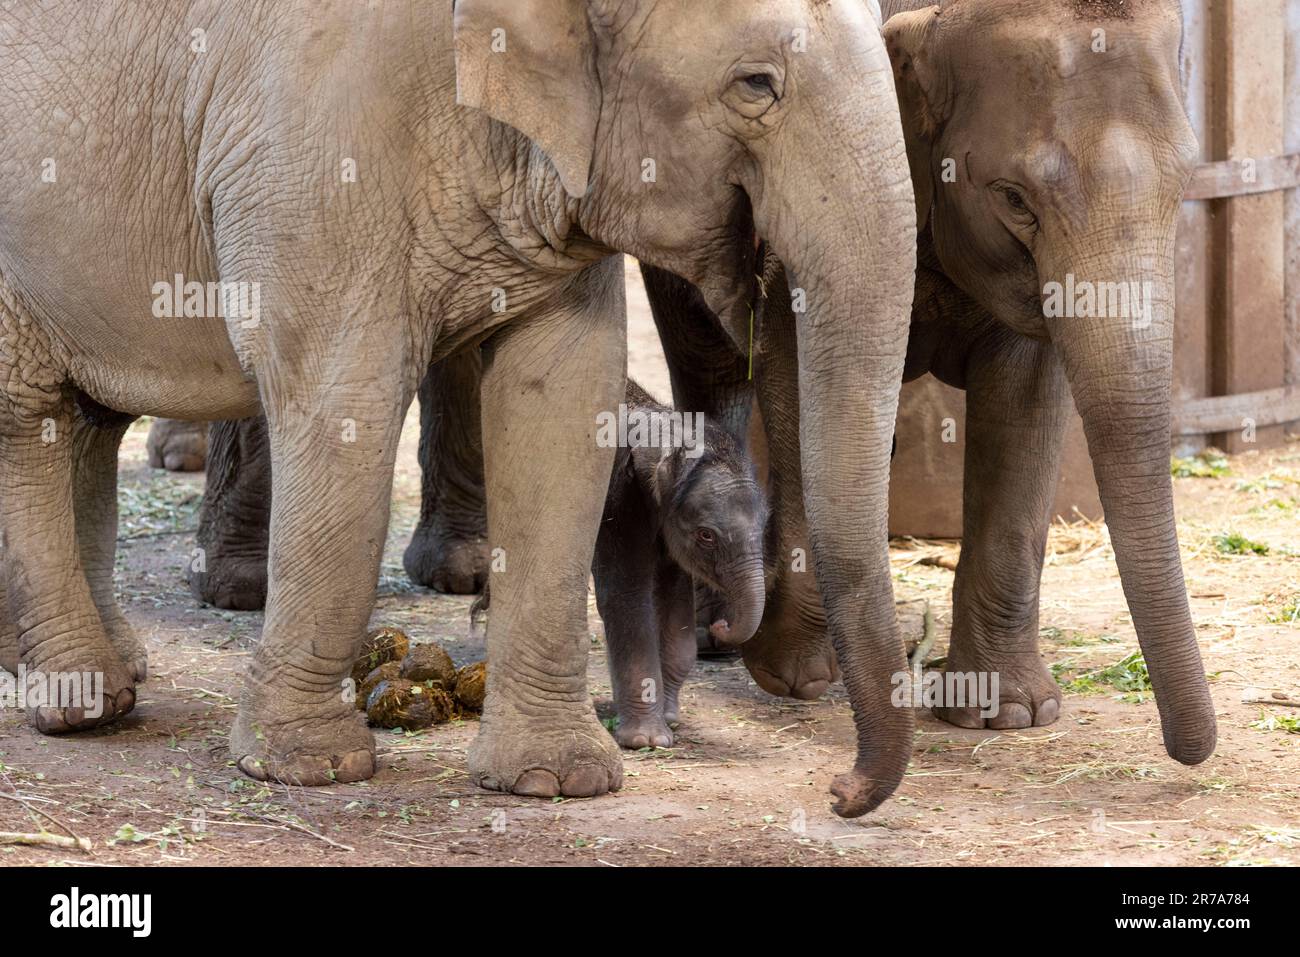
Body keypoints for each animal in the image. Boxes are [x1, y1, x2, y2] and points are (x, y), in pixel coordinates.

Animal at [0, 0, 917, 814]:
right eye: (757, 84)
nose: (838, 792)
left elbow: (561, 403)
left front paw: (555, 781)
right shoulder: (312, 149)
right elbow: (343, 399)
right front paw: (307, 767)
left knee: (85, 422)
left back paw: (102, 675)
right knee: (25, 418)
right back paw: (83, 706)